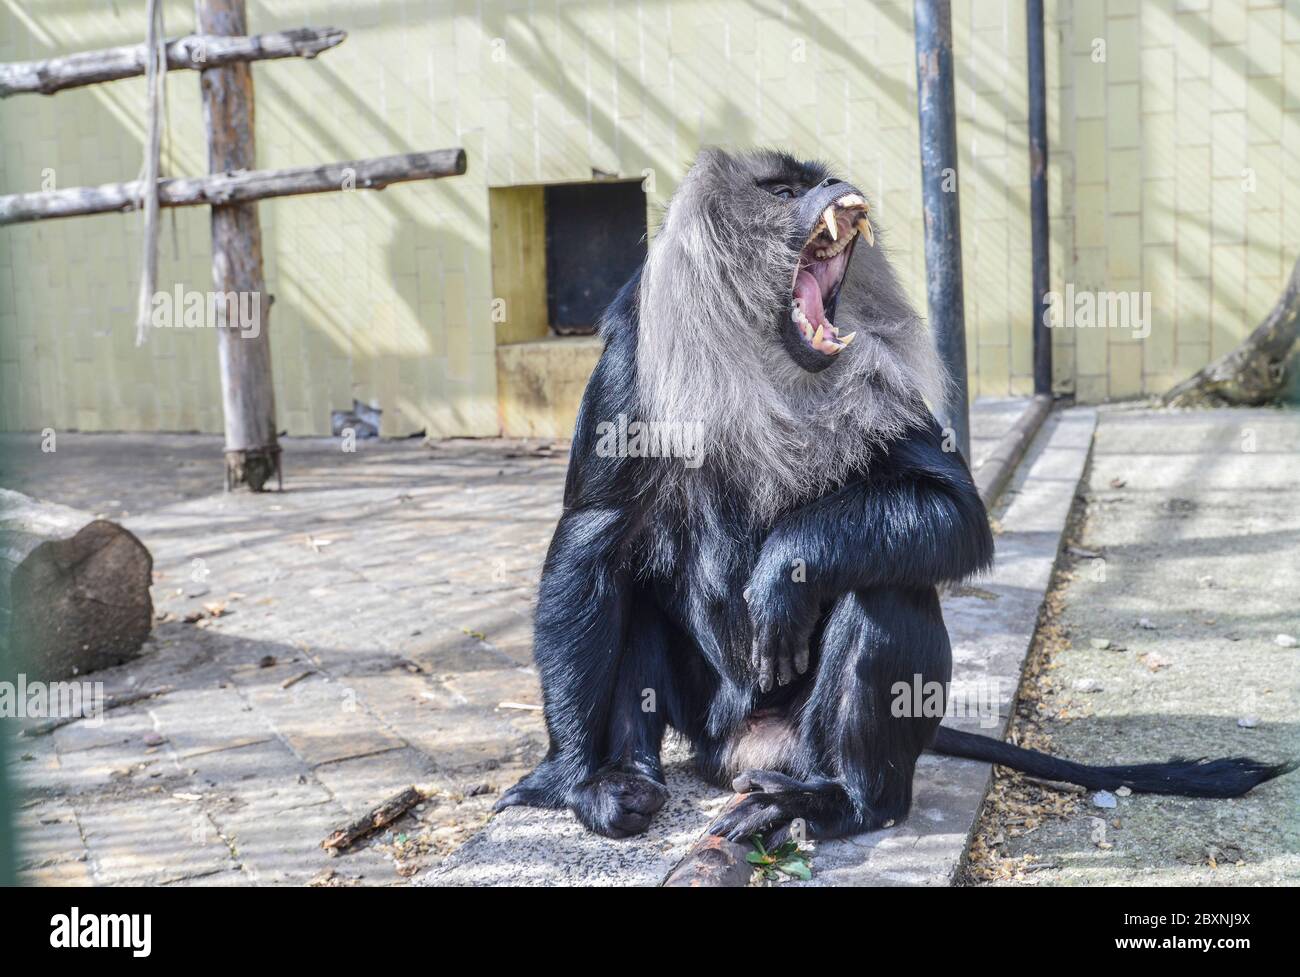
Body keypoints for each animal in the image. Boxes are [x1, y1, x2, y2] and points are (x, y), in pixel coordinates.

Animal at [496, 148, 1294, 845]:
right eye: (782, 192)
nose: (836, 188)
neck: (762, 365)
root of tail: (744, 753)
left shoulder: (877, 377)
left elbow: (952, 509)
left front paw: (782, 571)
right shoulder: (631, 363)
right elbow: (590, 539)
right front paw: (566, 776)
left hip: (802, 740)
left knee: (884, 587)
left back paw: (841, 801)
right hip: (708, 723)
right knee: (630, 572)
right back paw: (627, 779)